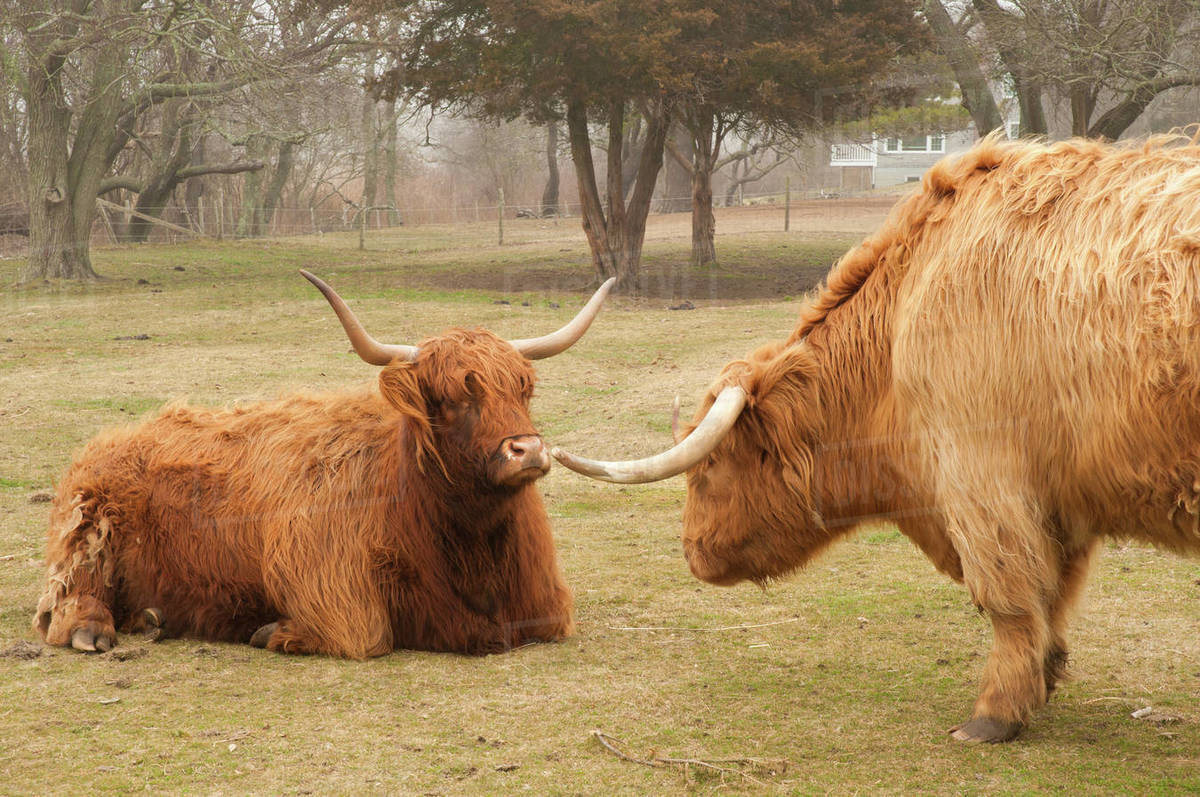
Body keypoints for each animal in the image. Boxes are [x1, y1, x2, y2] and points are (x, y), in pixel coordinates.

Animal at [33, 271, 615, 659]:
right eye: (452, 398)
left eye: (524, 388)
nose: (528, 451)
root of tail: (116, 437)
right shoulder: (325, 578)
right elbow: (367, 636)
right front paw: (274, 632)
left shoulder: (544, 605)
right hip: (89, 528)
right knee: (67, 597)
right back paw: (92, 630)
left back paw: (154, 618)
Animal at [553, 134, 1200, 742]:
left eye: (707, 469)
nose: (692, 552)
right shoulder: (1057, 505)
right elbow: (1053, 597)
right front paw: (1041, 681)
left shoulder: (984, 483)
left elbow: (1009, 596)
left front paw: (994, 714)